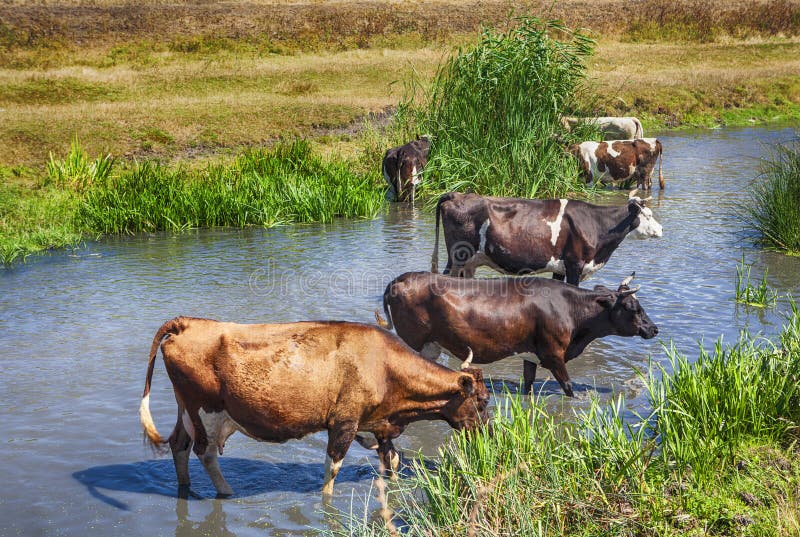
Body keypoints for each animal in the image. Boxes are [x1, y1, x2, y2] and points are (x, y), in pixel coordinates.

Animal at [139, 317, 490, 497]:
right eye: (484, 401)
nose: (486, 432)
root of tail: (189, 323)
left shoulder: (378, 424)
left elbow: (391, 459)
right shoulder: (345, 423)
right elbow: (331, 471)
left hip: (186, 410)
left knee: (179, 445)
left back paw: (185, 488)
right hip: (207, 411)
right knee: (205, 453)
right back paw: (227, 492)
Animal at [376, 272, 658, 397]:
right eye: (634, 308)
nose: (654, 328)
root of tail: (399, 279)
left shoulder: (530, 356)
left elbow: (528, 384)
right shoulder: (553, 354)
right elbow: (568, 388)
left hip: (431, 347)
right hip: (414, 343)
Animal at [430, 190, 662, 285]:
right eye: (649, 215)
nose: (661, 229)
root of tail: (457, 194)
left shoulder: (561, 268)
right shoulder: (575, 264)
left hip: (472, 261)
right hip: (458, 256)